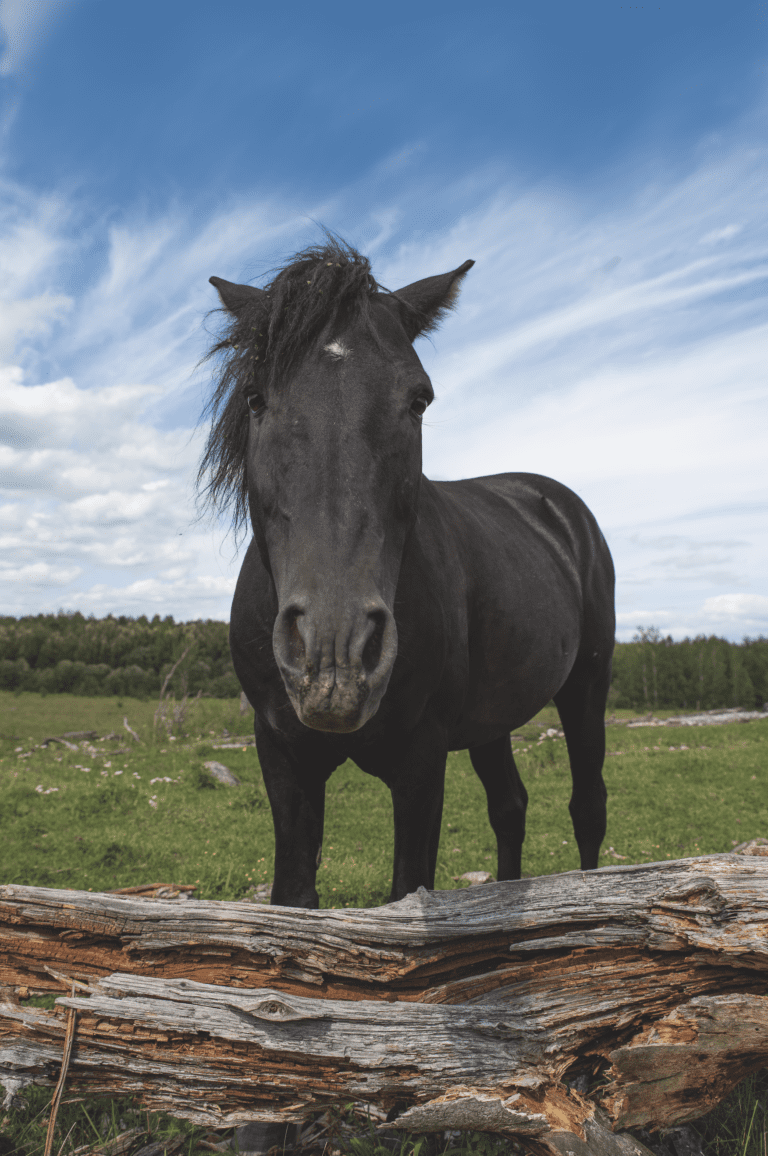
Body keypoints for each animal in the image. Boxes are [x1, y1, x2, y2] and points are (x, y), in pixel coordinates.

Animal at [199, 236, 615, 908]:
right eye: (255, 398)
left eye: (419, 400)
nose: (335, 655)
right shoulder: (281, 754)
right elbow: (293, 896)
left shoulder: (422, 759)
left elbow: (407, 892)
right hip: (491, 720)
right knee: (510, 805)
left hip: (586, 687)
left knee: (588, 808)